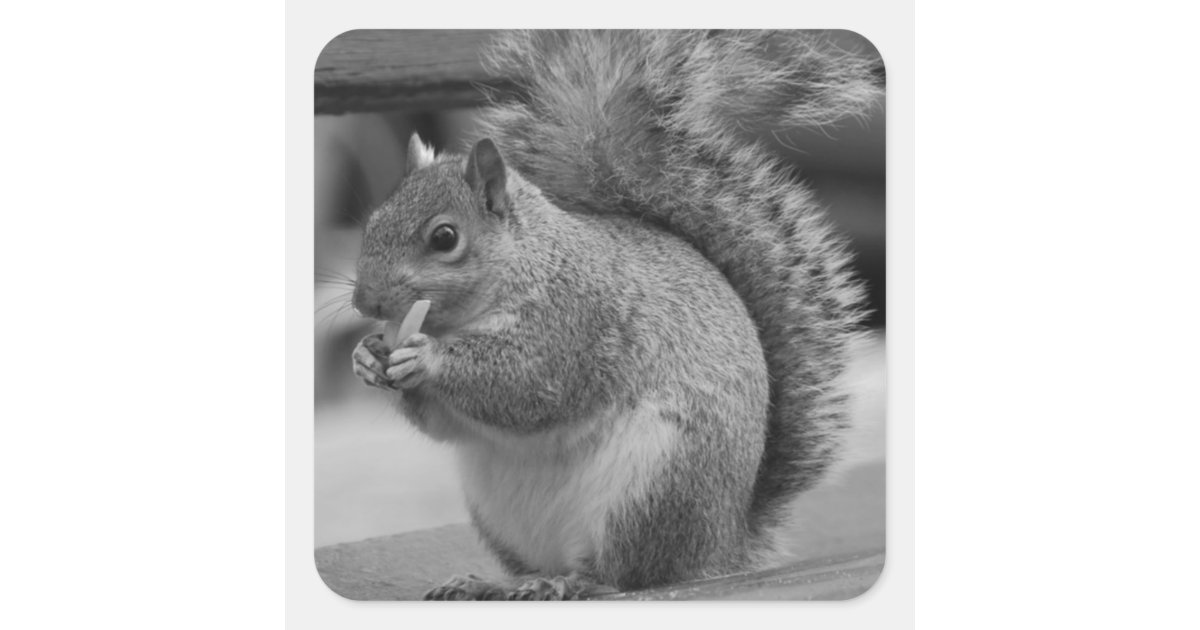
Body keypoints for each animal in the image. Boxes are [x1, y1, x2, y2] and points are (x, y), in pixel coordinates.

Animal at [350, 30, 882, 600]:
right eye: (372, 222)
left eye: (444, 237)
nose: (365, 303)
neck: (526, 263)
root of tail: (723, 545)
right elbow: (444, 425)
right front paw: (367, 356)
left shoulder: (576, 322)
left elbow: (526, 385)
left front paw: (425, 356)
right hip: (500, 512)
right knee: (545, 565)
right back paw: (490, 583)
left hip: (654, 486)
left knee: (625, 575)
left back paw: (569, 584)